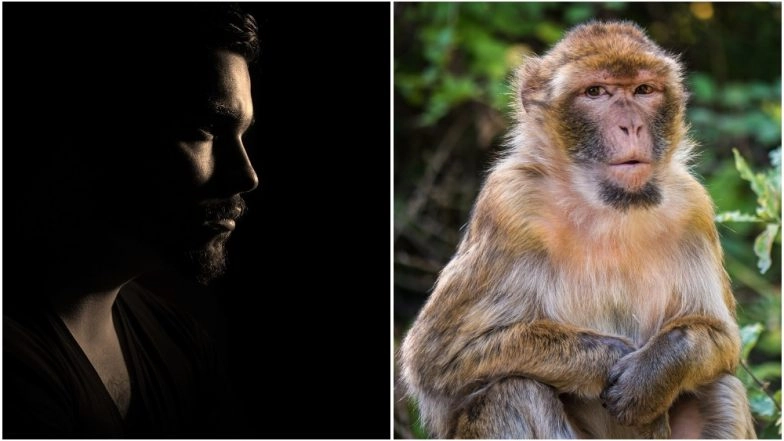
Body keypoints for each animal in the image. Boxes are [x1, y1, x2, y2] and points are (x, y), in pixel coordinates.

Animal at [399, 21, 756, 439]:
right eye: (596, 92)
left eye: (643, 90)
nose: (632, 125)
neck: (607, 205)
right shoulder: (509, 203)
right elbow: (437, 361)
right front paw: (607, 357)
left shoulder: (692, 207)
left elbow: (722, 339)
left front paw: (652, 373)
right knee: (512, 391)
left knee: (723, 387)